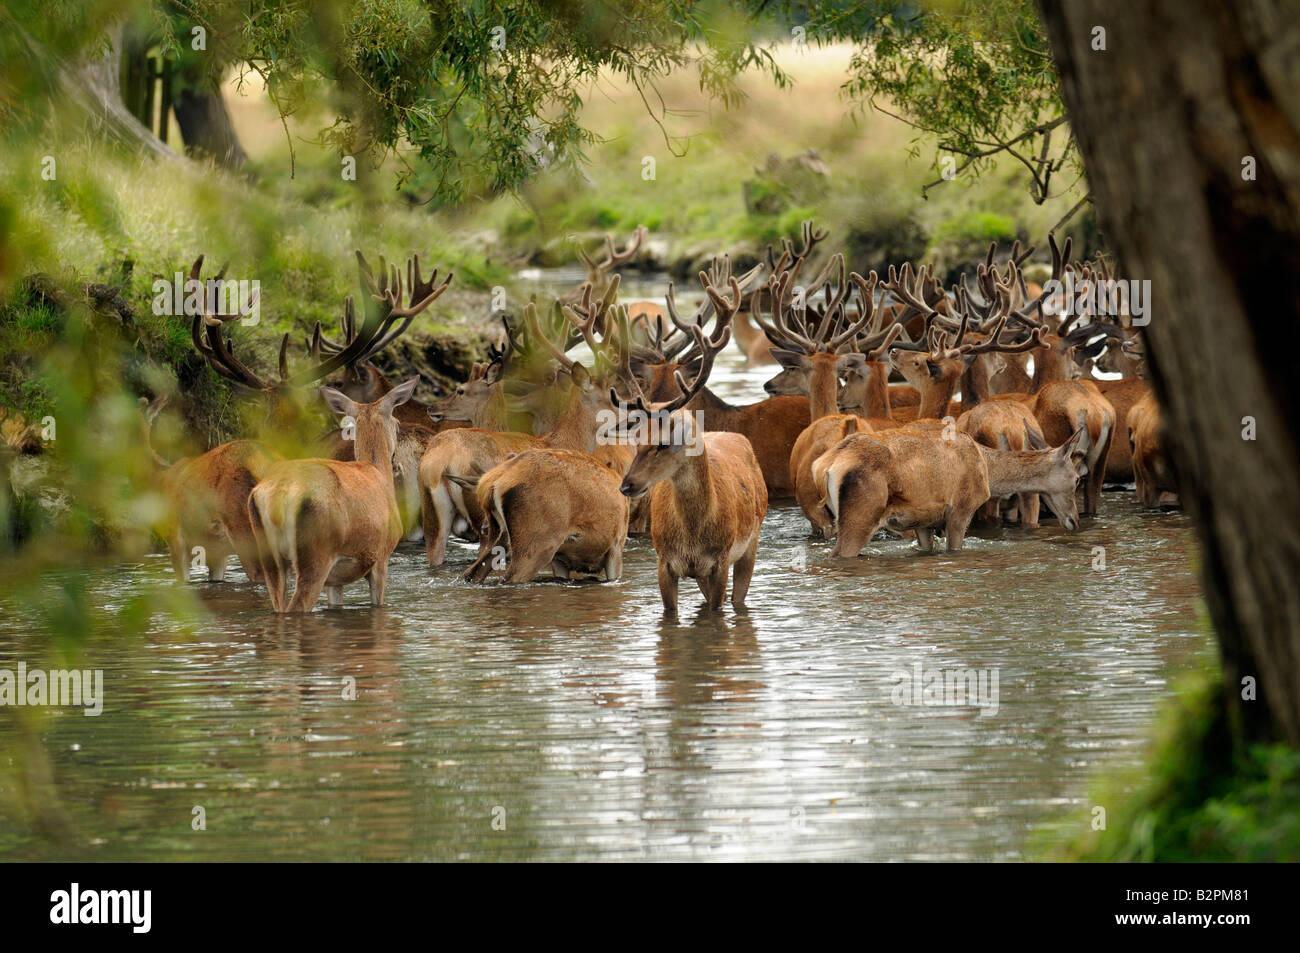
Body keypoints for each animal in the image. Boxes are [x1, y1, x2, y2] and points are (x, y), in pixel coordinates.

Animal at [614, 278, 768, 614]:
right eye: (636, 441)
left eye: (664, 443)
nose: (627, 486)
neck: (693, 536)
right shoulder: (665, 563)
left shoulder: (719, 562)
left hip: (751, 543)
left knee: (739, 596)